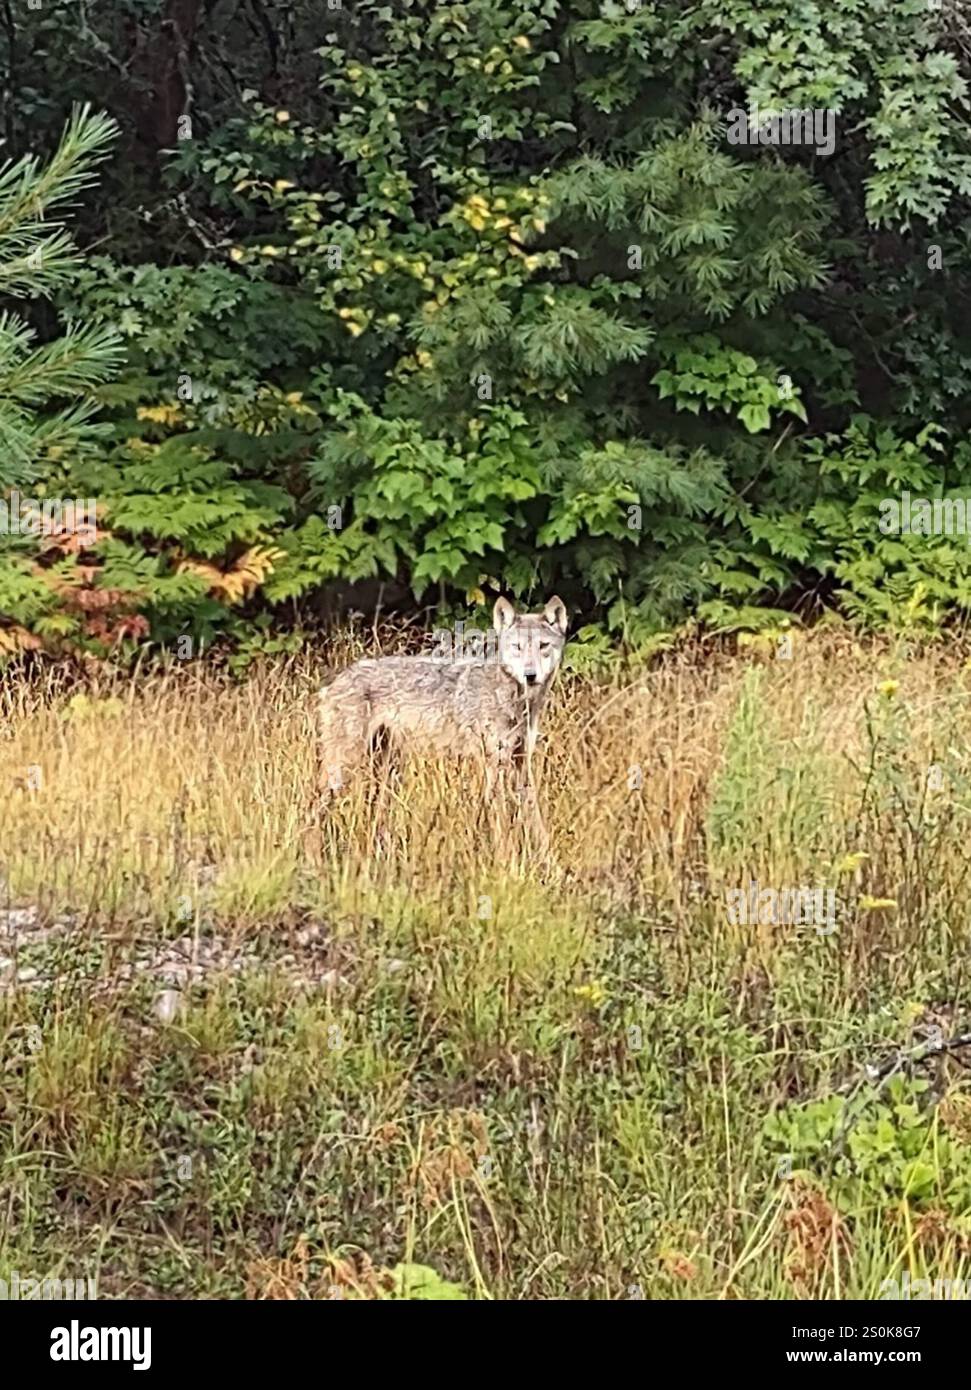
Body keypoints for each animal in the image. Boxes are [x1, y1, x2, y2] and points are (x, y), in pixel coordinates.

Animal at [315, 595, 569, 843]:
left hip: (385, 770)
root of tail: (333, 682)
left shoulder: (521, 761)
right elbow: (501, 821)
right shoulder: (493, 763)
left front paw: (546, 855)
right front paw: (505, 854)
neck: (516, 700)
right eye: (517, 647)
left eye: (543, 646)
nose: (530, 675)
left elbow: (535, 817)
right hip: (344, 769)